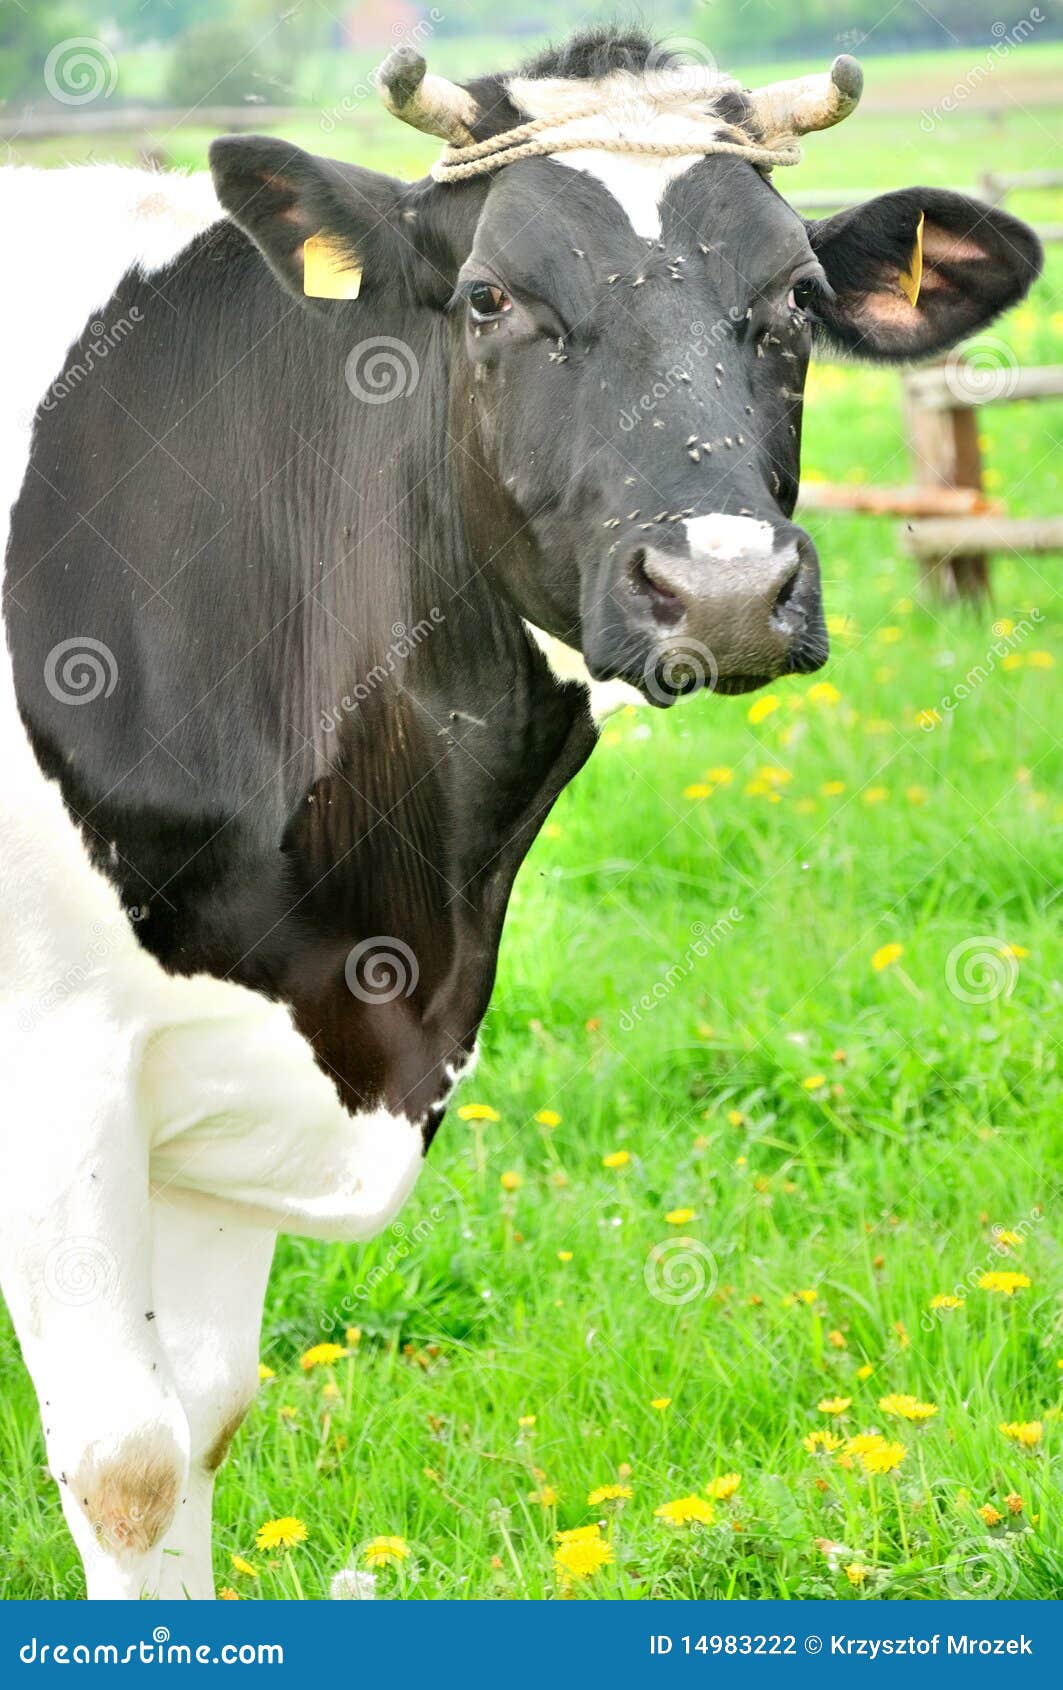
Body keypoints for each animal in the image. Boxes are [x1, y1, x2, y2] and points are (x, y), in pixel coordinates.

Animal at [0, 28, 1041, 1598]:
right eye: (491, 295)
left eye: (796, 297)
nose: (722, 587)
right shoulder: (54, 1065)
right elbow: (127, 1461)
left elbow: (204, 1422)